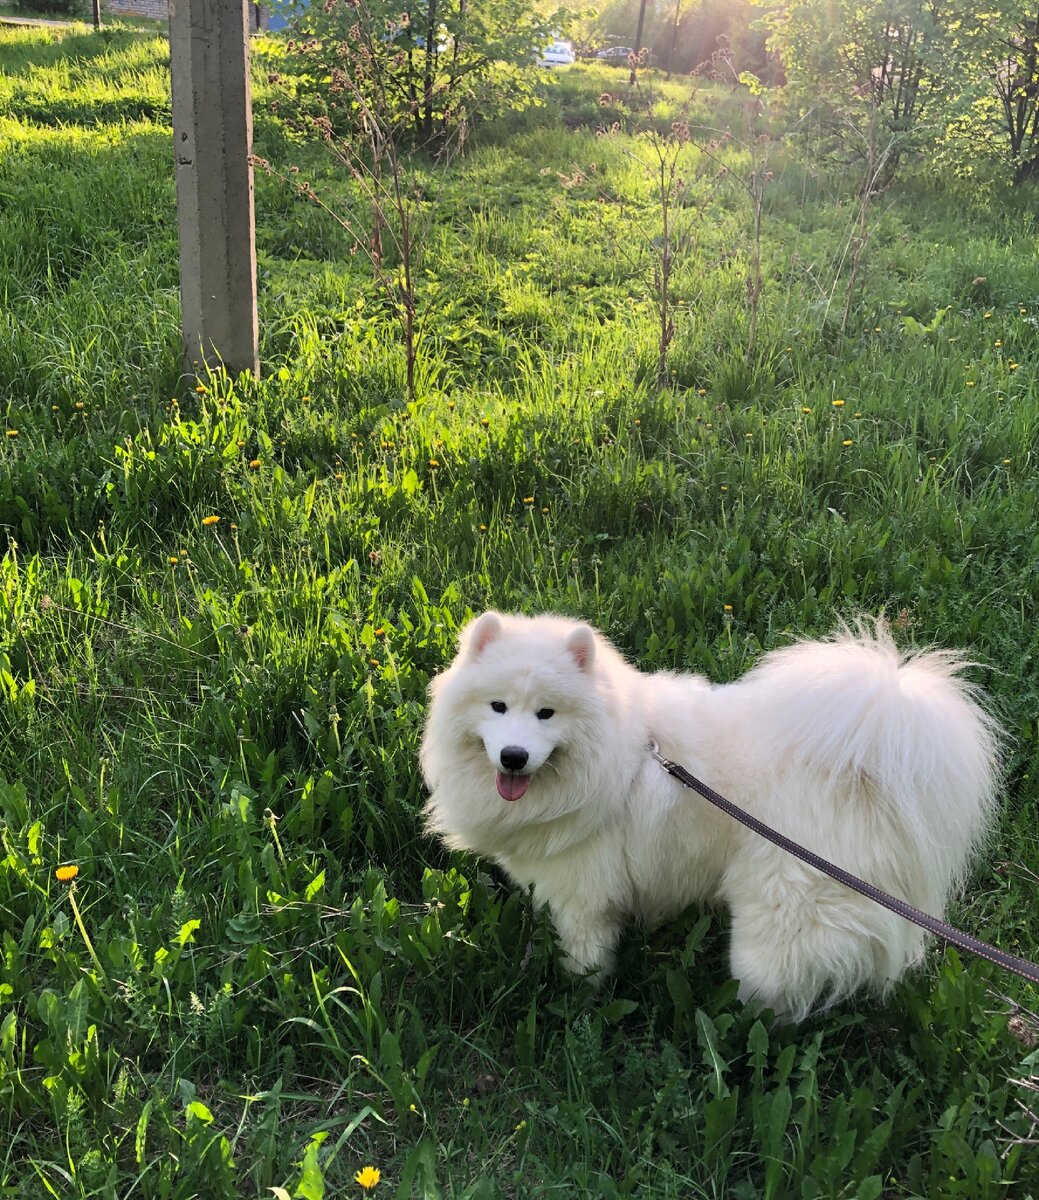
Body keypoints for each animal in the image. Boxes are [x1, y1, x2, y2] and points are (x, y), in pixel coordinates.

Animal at [417, 614, 998, 1017]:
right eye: (497, 707)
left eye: (546, 713)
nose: (513, 756)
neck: (618, 753)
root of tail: (861, 769)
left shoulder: (583, 896)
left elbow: (584, 958)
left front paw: (577, 997)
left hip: (775, 926)